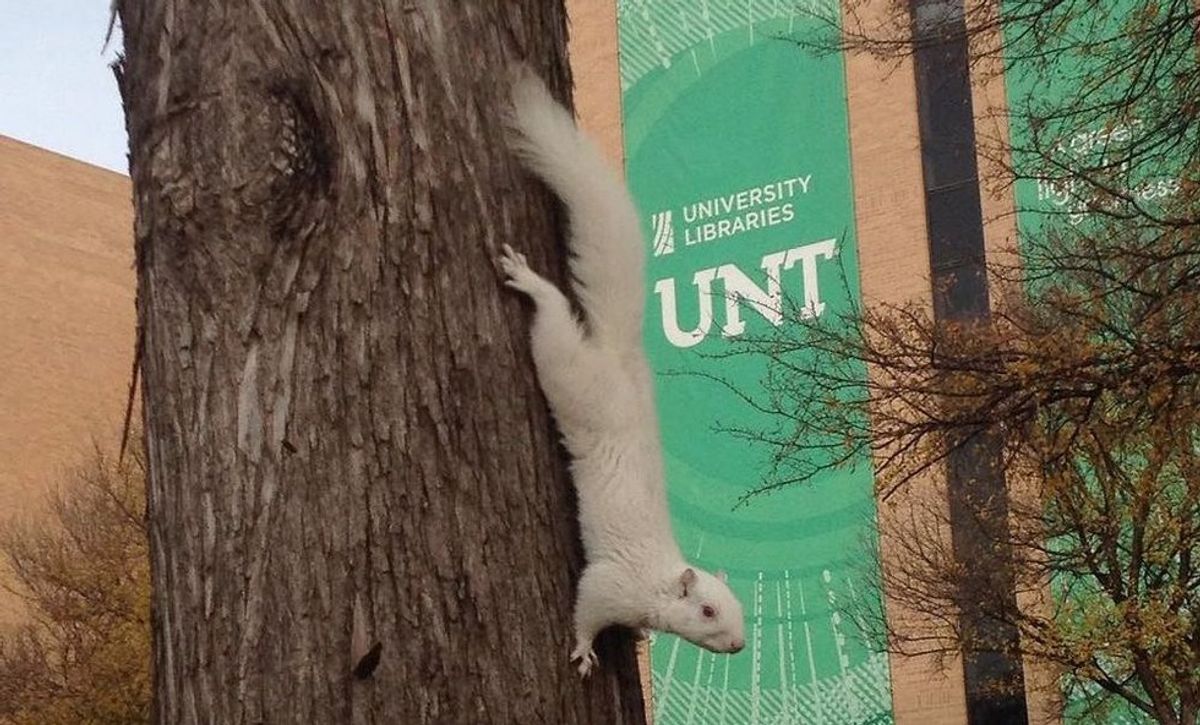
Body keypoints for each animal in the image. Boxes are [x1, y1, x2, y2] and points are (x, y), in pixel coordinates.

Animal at [497, 69, 746, 678]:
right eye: (708, 610)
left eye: (739, 609)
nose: (737, 646)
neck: (655, 583)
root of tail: (616, 354)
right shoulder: (610, 584)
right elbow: (586, 608)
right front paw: (586, 650)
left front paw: (638, 637)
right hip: (568, 371)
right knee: (554, 317)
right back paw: (529, 281)